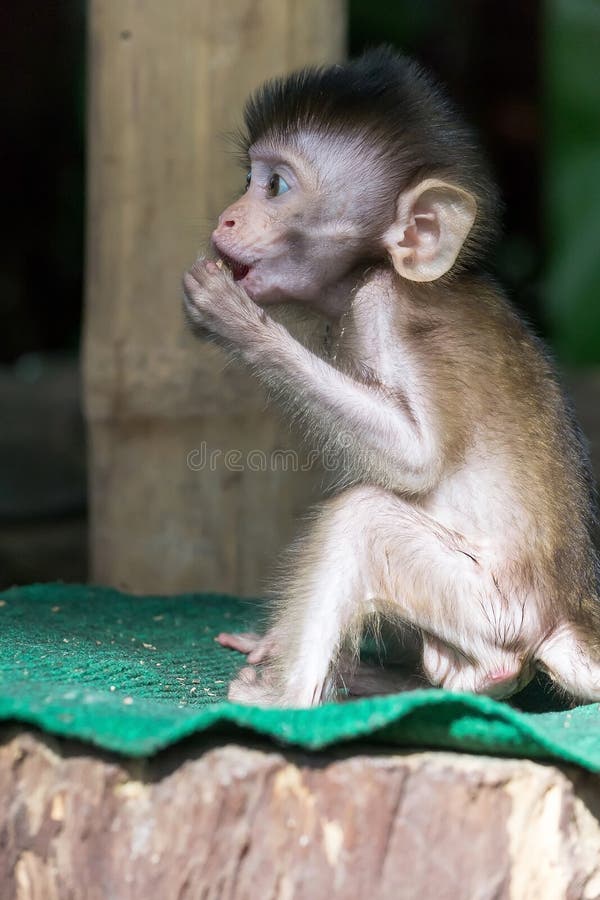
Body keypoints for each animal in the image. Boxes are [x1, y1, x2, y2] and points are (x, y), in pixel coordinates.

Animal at [182, 47, 600, 708]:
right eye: (249, 178)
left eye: (275, 187)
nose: (228, 217)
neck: (374, 270)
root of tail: (567, 616)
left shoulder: (382, 303)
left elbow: (414, 458)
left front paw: (235, 321)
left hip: (487, 608)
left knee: (362, 518)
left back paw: (282, 700)